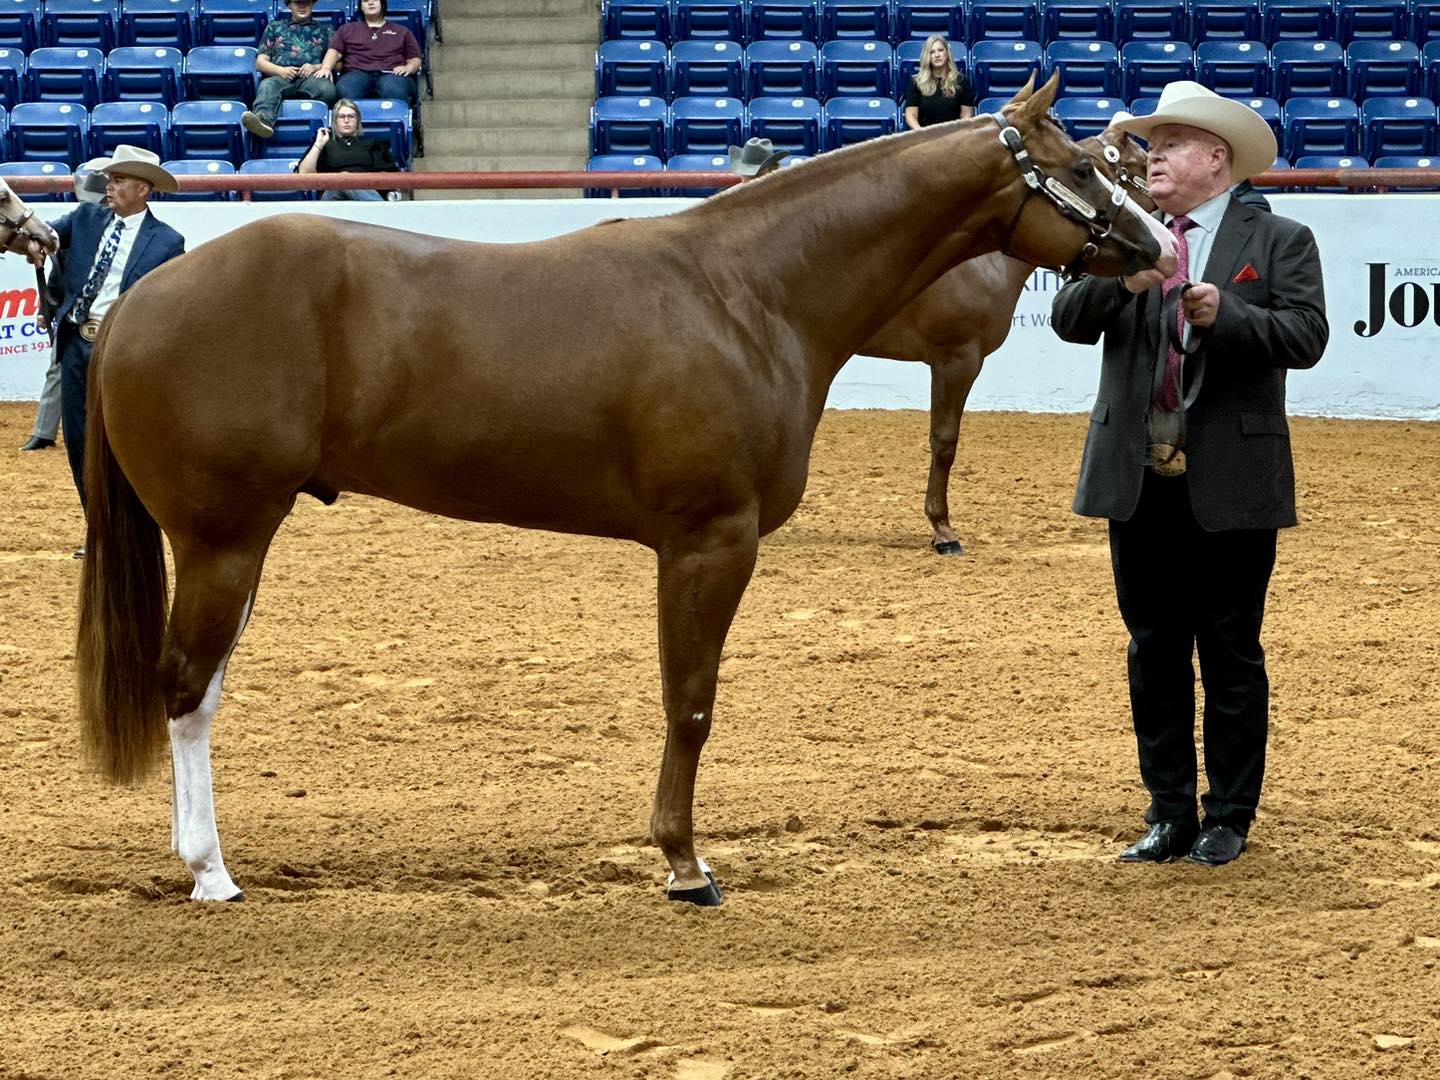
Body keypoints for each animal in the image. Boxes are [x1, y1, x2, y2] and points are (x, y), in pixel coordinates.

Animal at [856, 122, 1156, 555]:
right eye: (1141, 165)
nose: (1156, 239)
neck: (982, 259)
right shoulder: (956, 361)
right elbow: (944, 442)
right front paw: (942, 529)